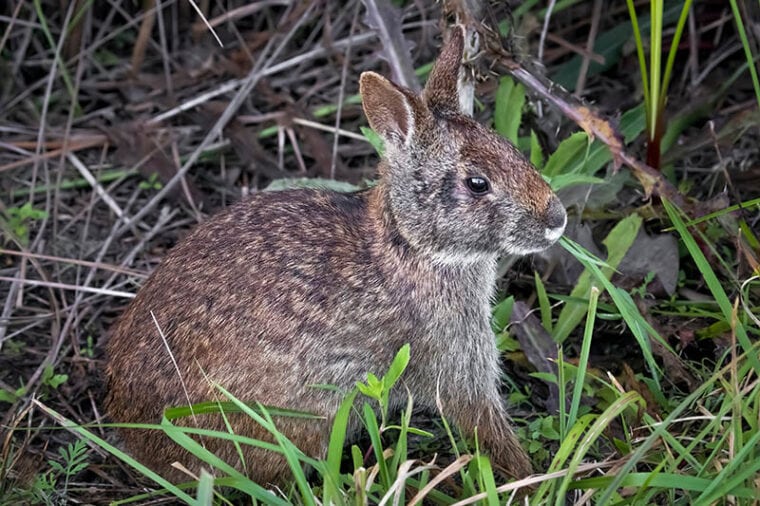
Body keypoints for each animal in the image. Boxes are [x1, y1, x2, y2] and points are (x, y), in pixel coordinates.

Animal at [104, 26, 567, 487]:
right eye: (477, 183)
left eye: (509, 147)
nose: (557, 219)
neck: (411, 244)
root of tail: (136, 435)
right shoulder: (452, 355)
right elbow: (481, 419)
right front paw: (530, 476)